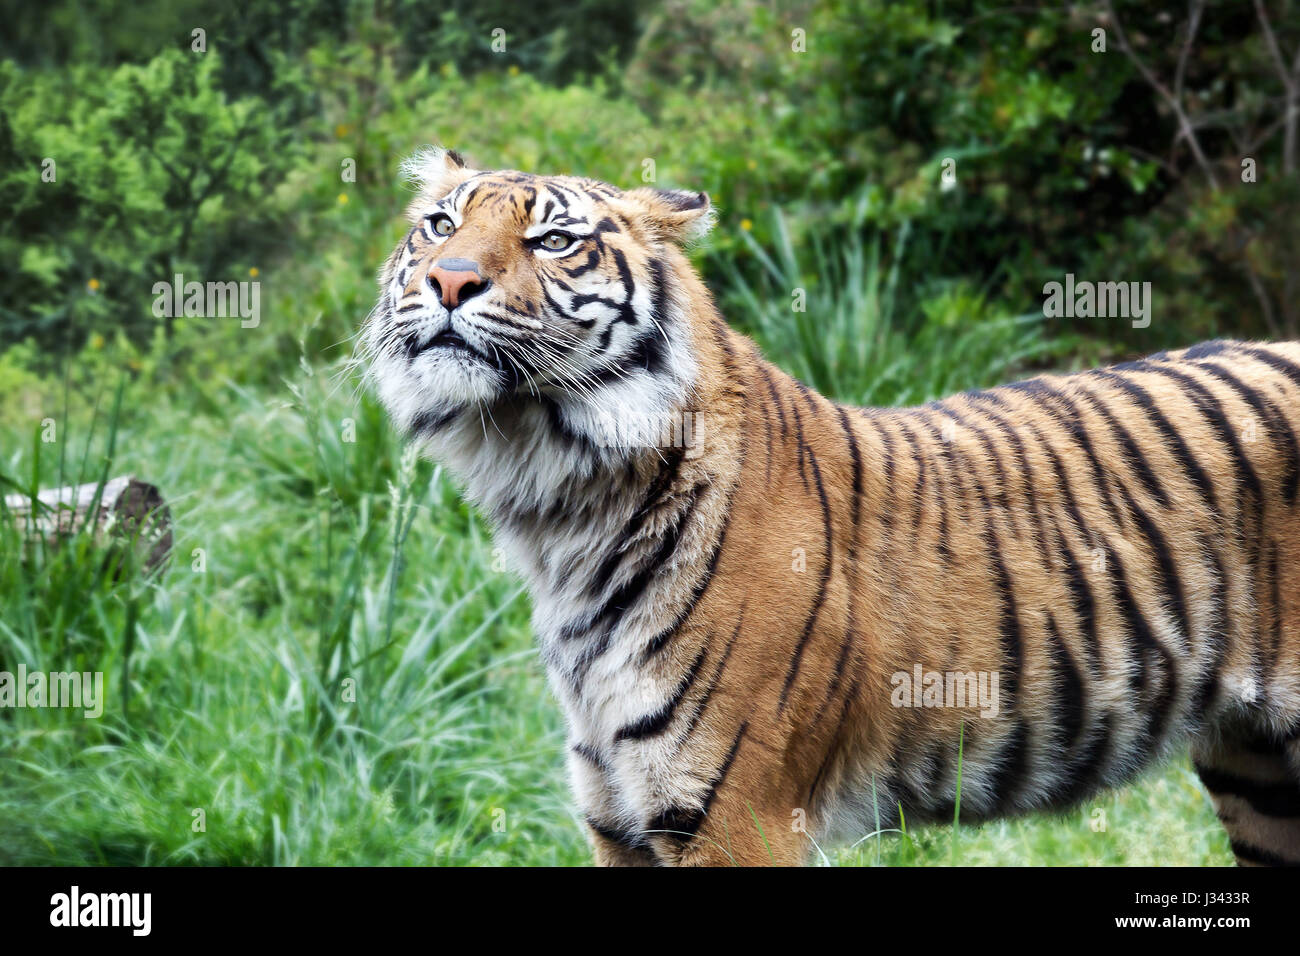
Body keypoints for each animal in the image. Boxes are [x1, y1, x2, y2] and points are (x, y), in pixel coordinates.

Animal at [362, 146, 1300, 867]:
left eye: (554, 241)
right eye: (439, 226)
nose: (449, 281)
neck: (557, 506)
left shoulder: (736, 818)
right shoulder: (617, 817)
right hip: (1260, 773)